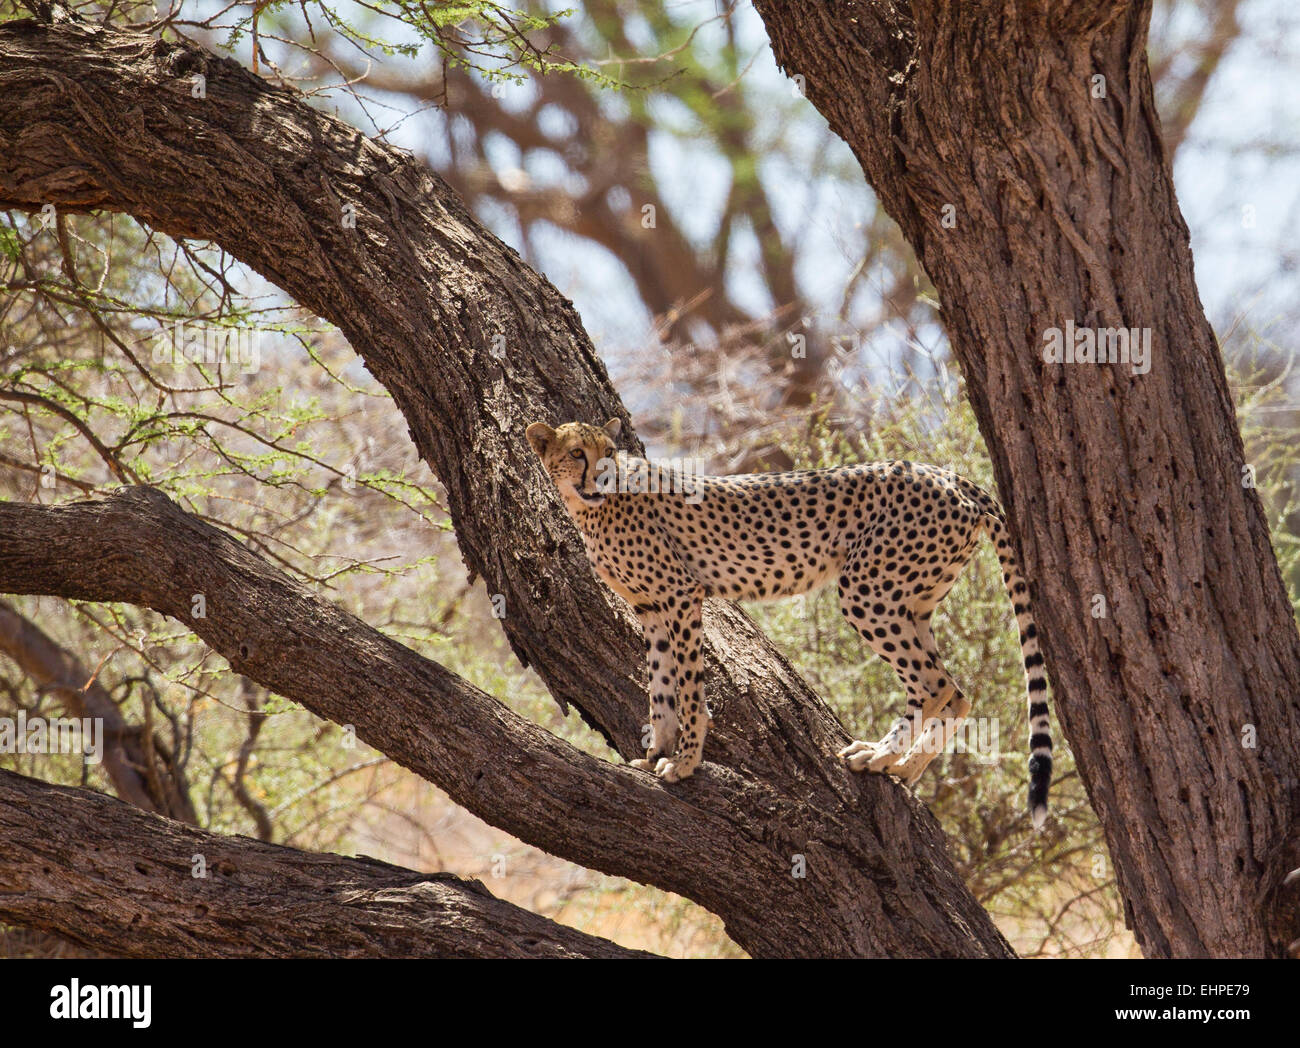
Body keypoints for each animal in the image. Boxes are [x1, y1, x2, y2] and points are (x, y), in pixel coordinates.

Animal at [526, 417, 1053, 827]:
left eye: (609, 452)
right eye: (578, 454)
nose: (602, 476)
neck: (589, 508)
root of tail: (944, 472)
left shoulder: (680, 597)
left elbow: (690, 690)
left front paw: (687, 761)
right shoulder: (651, 610)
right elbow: (660, 691)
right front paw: (657, 752)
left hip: (867, 592)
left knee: (935, 686)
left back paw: (886, 758)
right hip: (912, 600)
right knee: (957, 693)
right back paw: (898, 764)